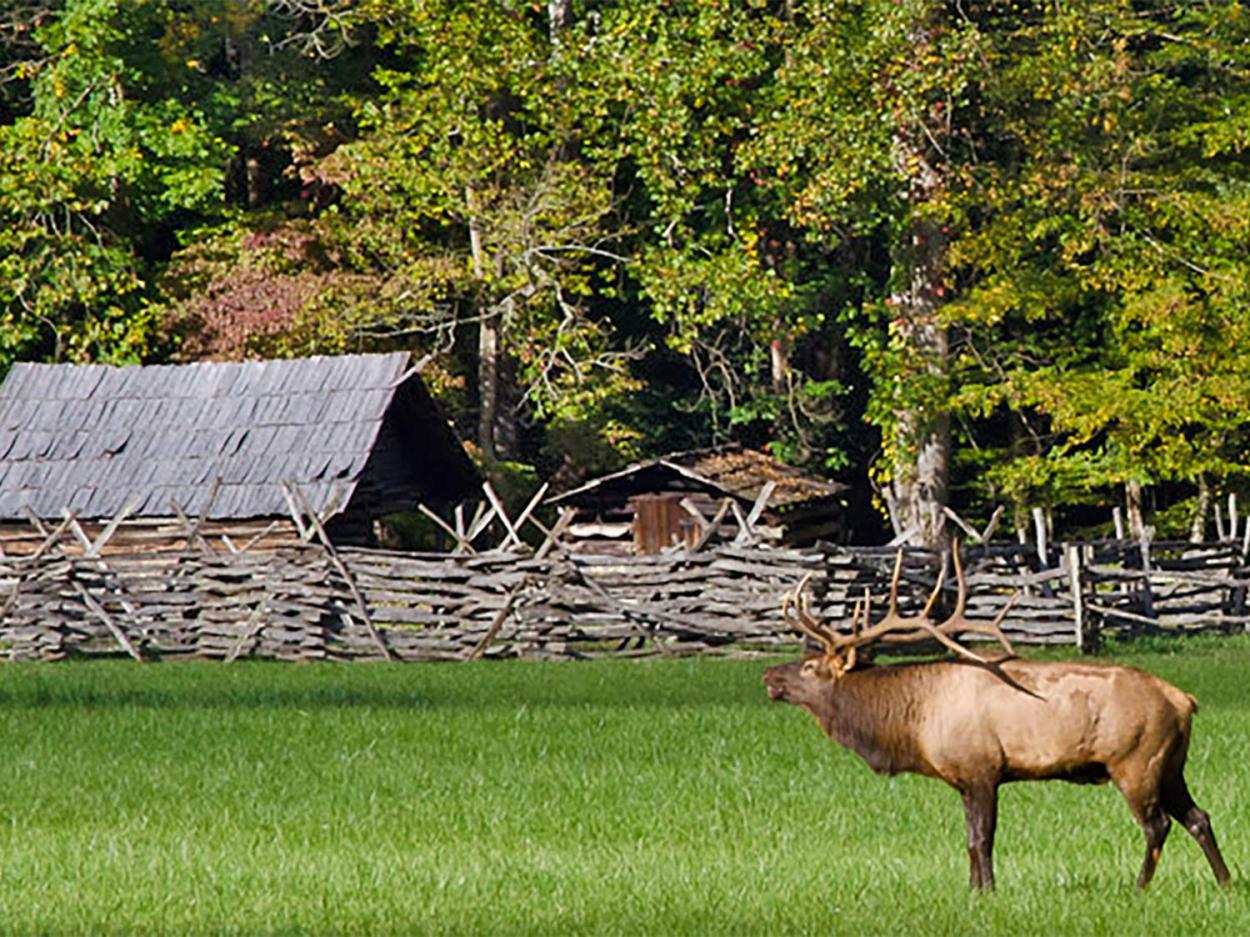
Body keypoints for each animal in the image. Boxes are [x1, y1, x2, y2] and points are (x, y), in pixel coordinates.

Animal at [763, 544, 1231, 890]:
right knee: (1198, 817)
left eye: (810, 667)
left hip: (1136, 761)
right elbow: (970, 840)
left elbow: (982, 839)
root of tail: (1184, 700)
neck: (914, 724)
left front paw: (987, 890)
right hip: (1171, 765)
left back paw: (1139, 887)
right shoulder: (962, 778)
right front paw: (973, 889)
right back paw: (1225, 882)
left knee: (1158, 824)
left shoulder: (982, 769)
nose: (769, 676)